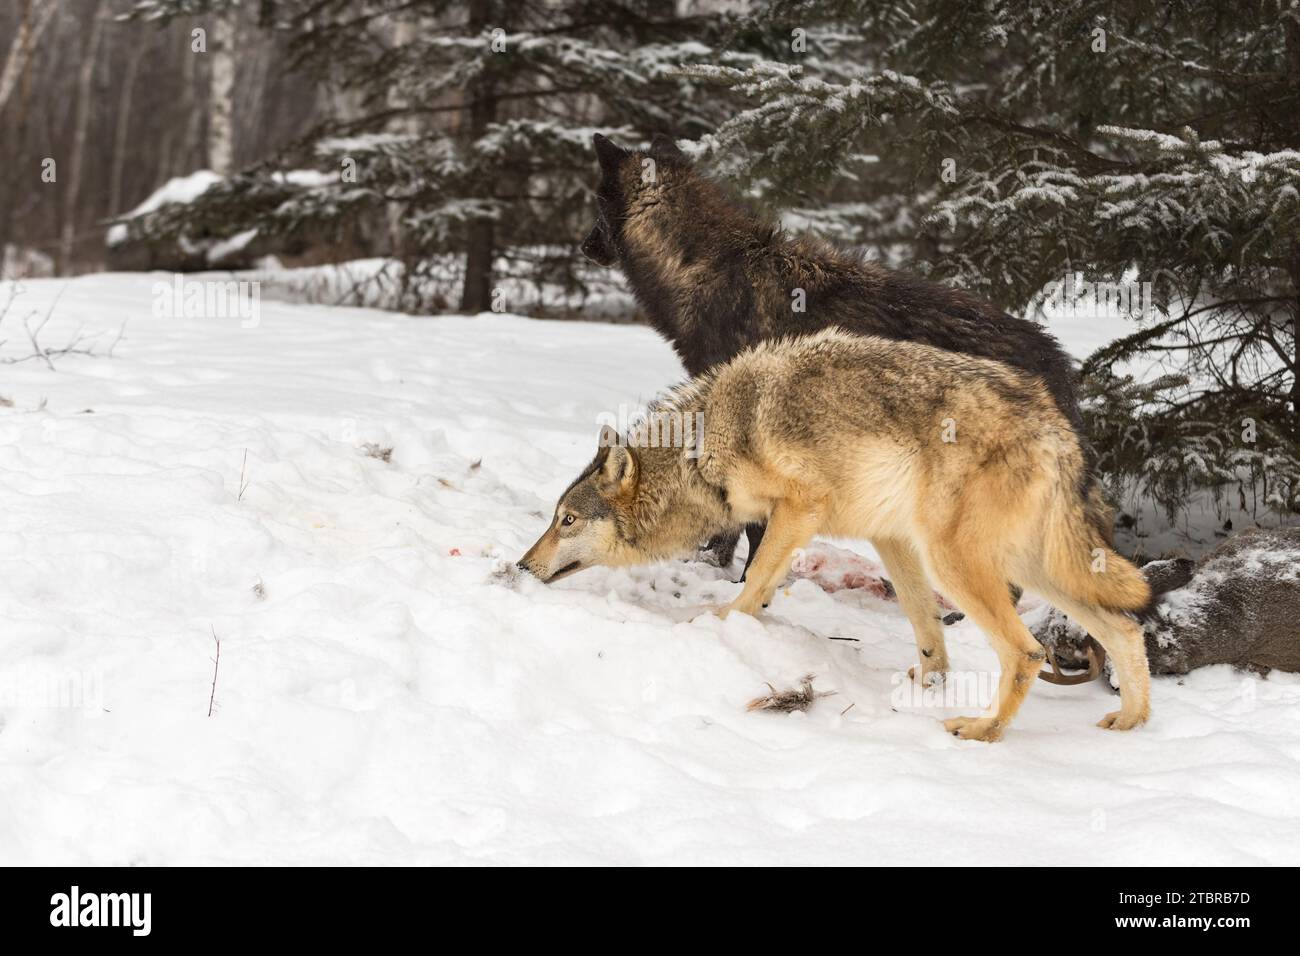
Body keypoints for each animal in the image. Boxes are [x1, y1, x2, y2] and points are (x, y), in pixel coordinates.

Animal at [518, 329, 1150, 741]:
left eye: (566, 521)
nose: (523, 565)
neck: (702, 450)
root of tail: (1055, 422)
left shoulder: (801, 507)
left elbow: (753, 579)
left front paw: (719, 628)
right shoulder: (889, 540)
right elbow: (923, 626)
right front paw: (929, 684)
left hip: (960, 564)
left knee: (1028, 652)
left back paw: (983, 728)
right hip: (1026, 566)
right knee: (1124, 628)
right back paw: (1131, 720)